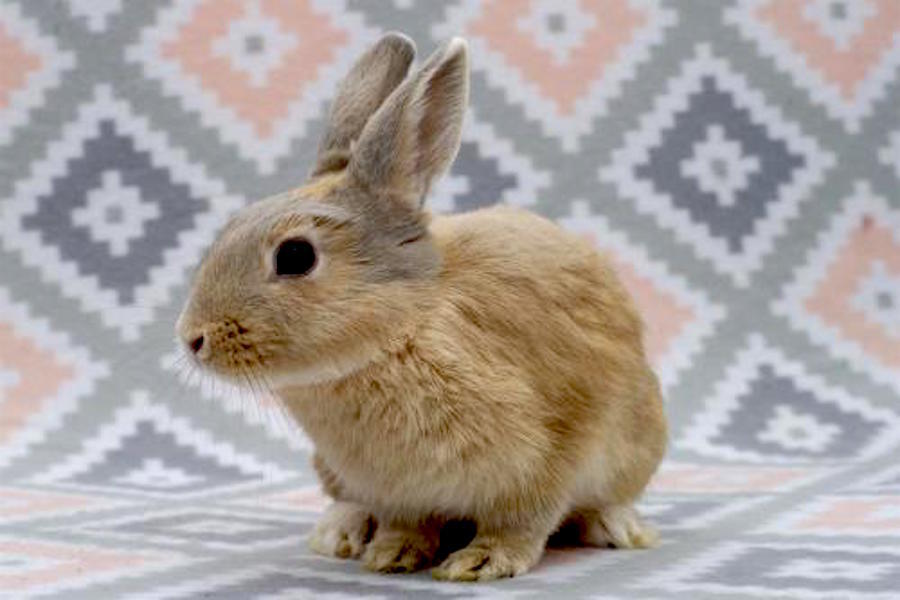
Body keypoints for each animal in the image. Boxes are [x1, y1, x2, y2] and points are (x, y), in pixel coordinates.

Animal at [177, 32, 667, 582]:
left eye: (296, 256)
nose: (192, 338)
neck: (401, 330)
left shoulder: (552, 452)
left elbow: (522, 521)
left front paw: (481, 562)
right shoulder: (397, 490)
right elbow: (406, 522)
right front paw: (391, 554)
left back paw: (620, 528)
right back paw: (340, 533)